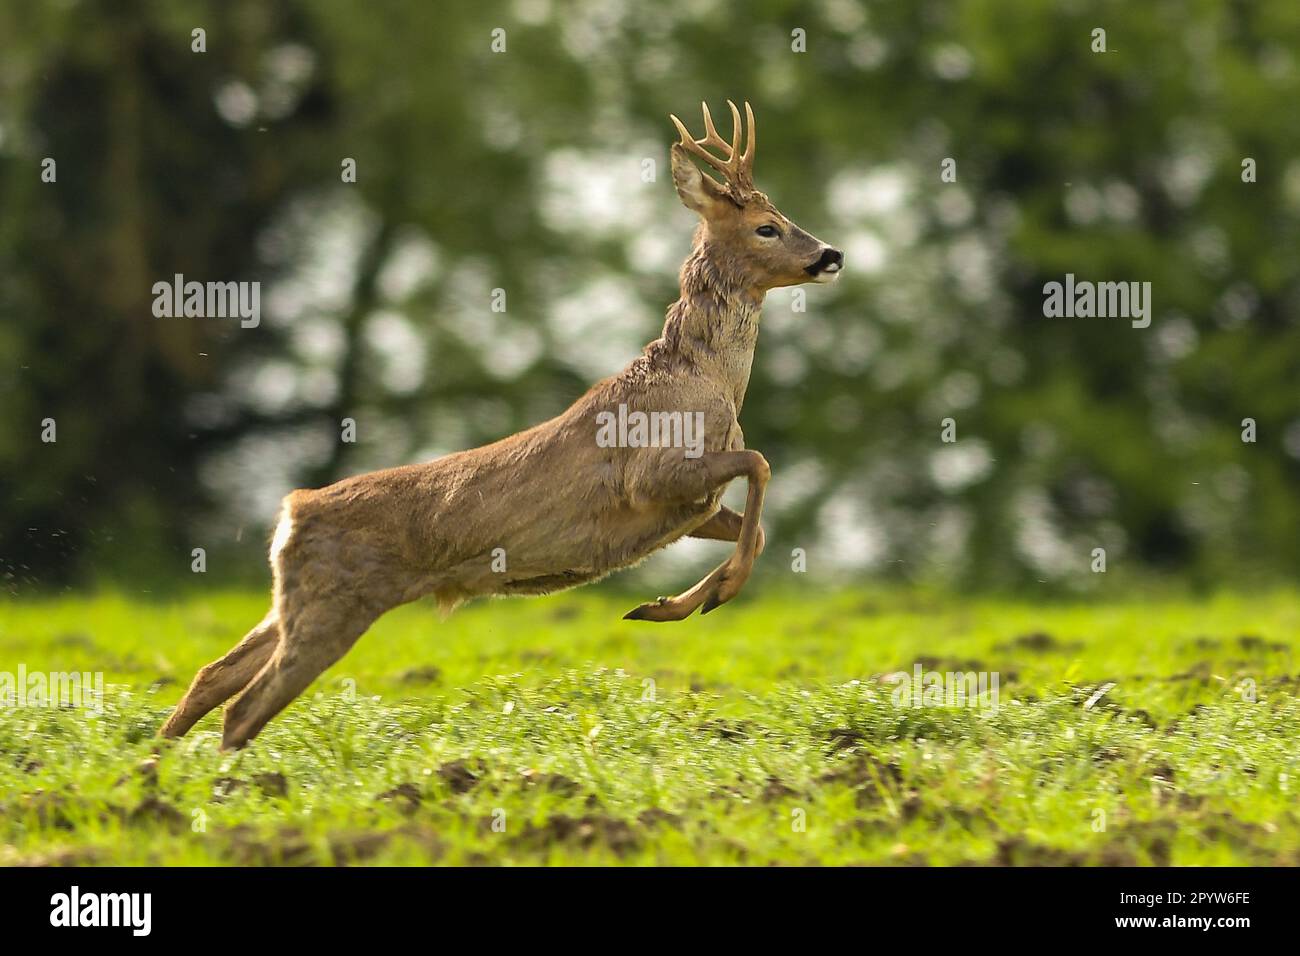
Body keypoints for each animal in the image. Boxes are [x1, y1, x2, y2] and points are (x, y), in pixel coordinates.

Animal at [159, 101, 843, 749]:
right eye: (767, 226)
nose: (831, 254)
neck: (707, 382)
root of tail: (291, 511)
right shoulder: (650, 476)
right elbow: (760, 464)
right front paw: (708, 596)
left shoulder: (690, 509)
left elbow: (754, 526)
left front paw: (662, 606)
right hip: (336, 602)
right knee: (244, 706)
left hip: (296, 598)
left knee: (212, 676)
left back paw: (157, 765)